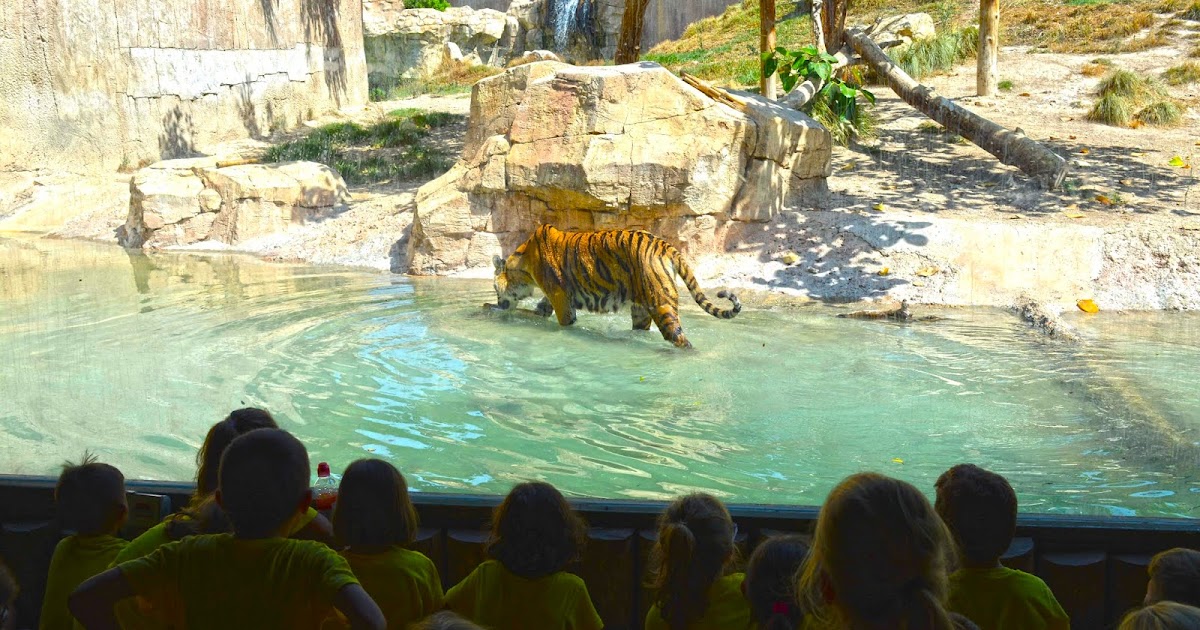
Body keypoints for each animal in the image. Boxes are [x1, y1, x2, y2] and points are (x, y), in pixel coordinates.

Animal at [490, 224, 742, 349]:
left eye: (494, 289)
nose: (499, 301)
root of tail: (665, 245)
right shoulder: (551, 300)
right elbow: (535, 311)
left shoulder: (561, 303)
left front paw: (493, 310)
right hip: (641, 310)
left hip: (662, 305)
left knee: (681, 339)